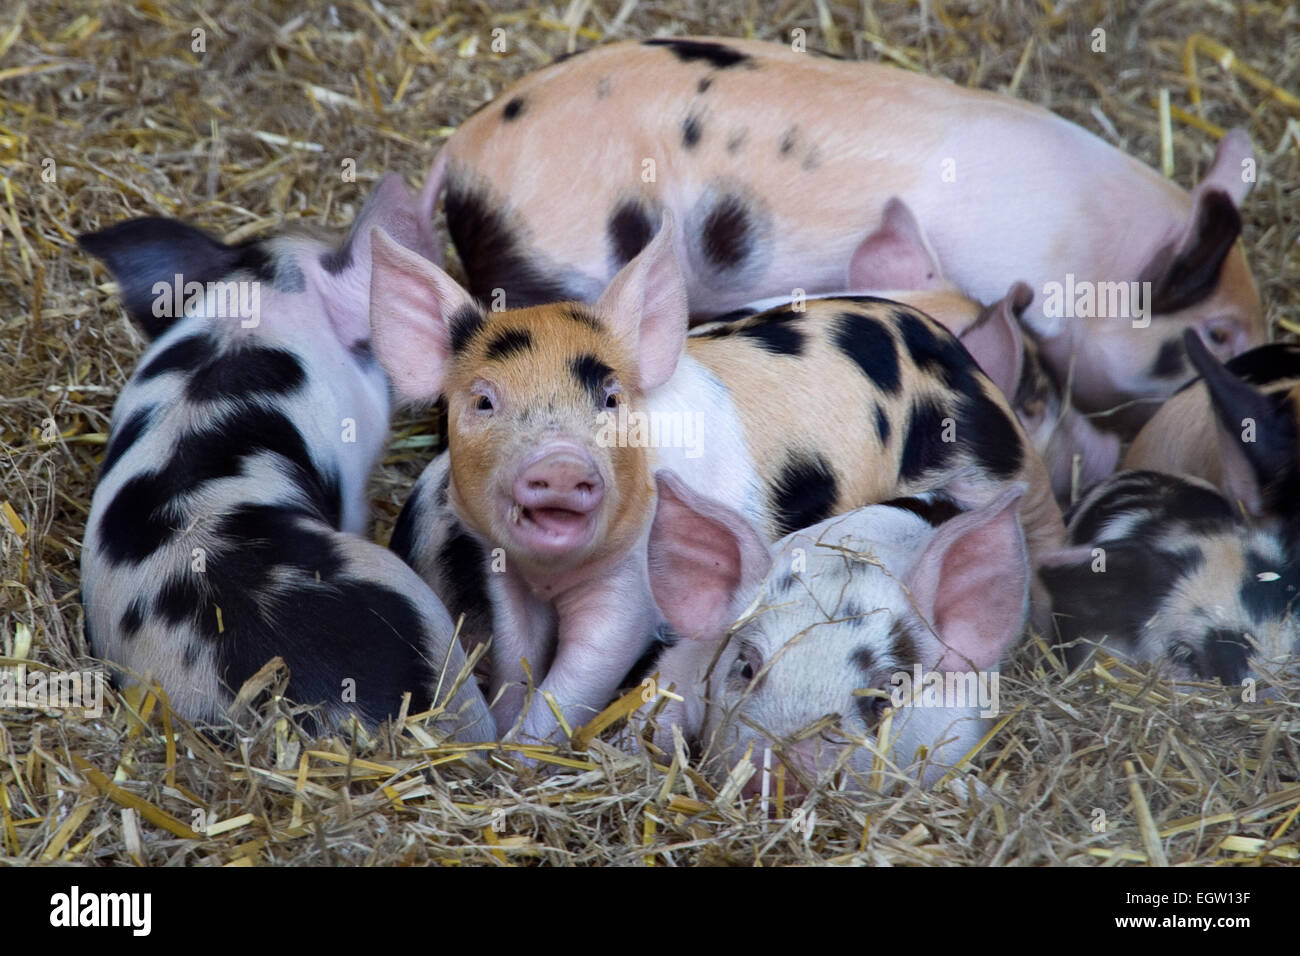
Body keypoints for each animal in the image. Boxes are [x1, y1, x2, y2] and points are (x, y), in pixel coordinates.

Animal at [369, 213, 1064, 746]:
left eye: (612, 399)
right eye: (483, 401)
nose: (560, 466)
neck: (554, 574)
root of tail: (957, 357)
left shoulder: (635, 589)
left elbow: (585, 668)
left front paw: (522, 754)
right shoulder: (506, 573)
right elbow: (520, 655)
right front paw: (501, 731)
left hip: (993, 475)